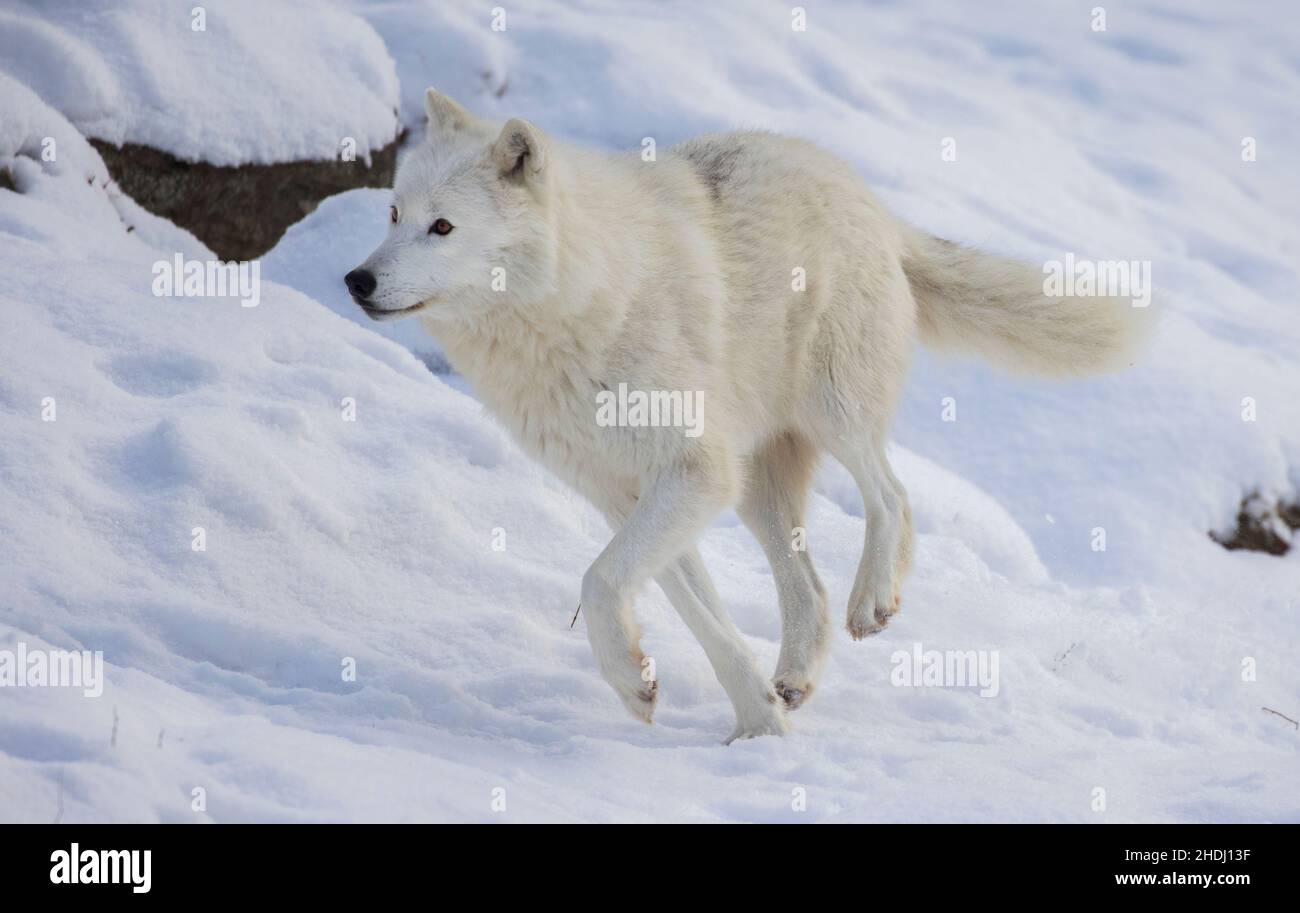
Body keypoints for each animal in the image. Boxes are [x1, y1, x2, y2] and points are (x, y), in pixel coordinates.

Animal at [346, 89, 1149, 743]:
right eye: (393, 214)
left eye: (443, 228)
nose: (357, 280)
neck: (582, 304)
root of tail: (861, 189)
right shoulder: (629, 496)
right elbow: (702, 620)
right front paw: (752, 720)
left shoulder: (693, 472)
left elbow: (599, 582)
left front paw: (642, 687)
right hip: (759, 490)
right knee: (809, 589)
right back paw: (794, 678)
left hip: (830, 415)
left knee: (891, 497)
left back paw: (872, 599)